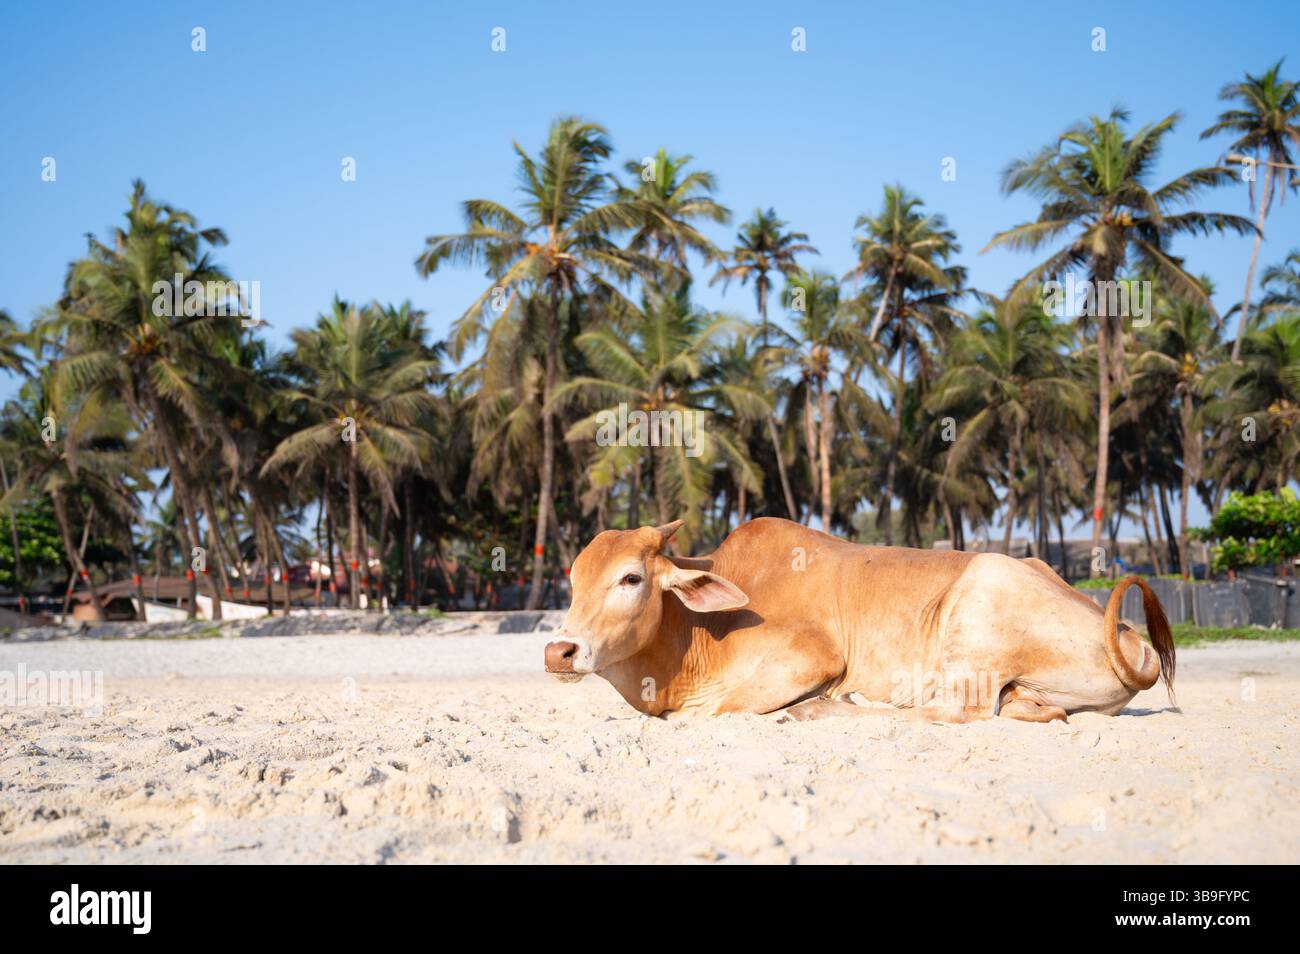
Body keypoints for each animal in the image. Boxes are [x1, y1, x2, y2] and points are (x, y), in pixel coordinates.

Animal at [542, 517, 1175, 723]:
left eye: (631, 578)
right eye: (571, 579)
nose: (559, 652)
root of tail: (1128, 640)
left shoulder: (812, 656)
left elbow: (720, 709)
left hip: (979, 605)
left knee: (950, 713)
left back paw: (838, 706)